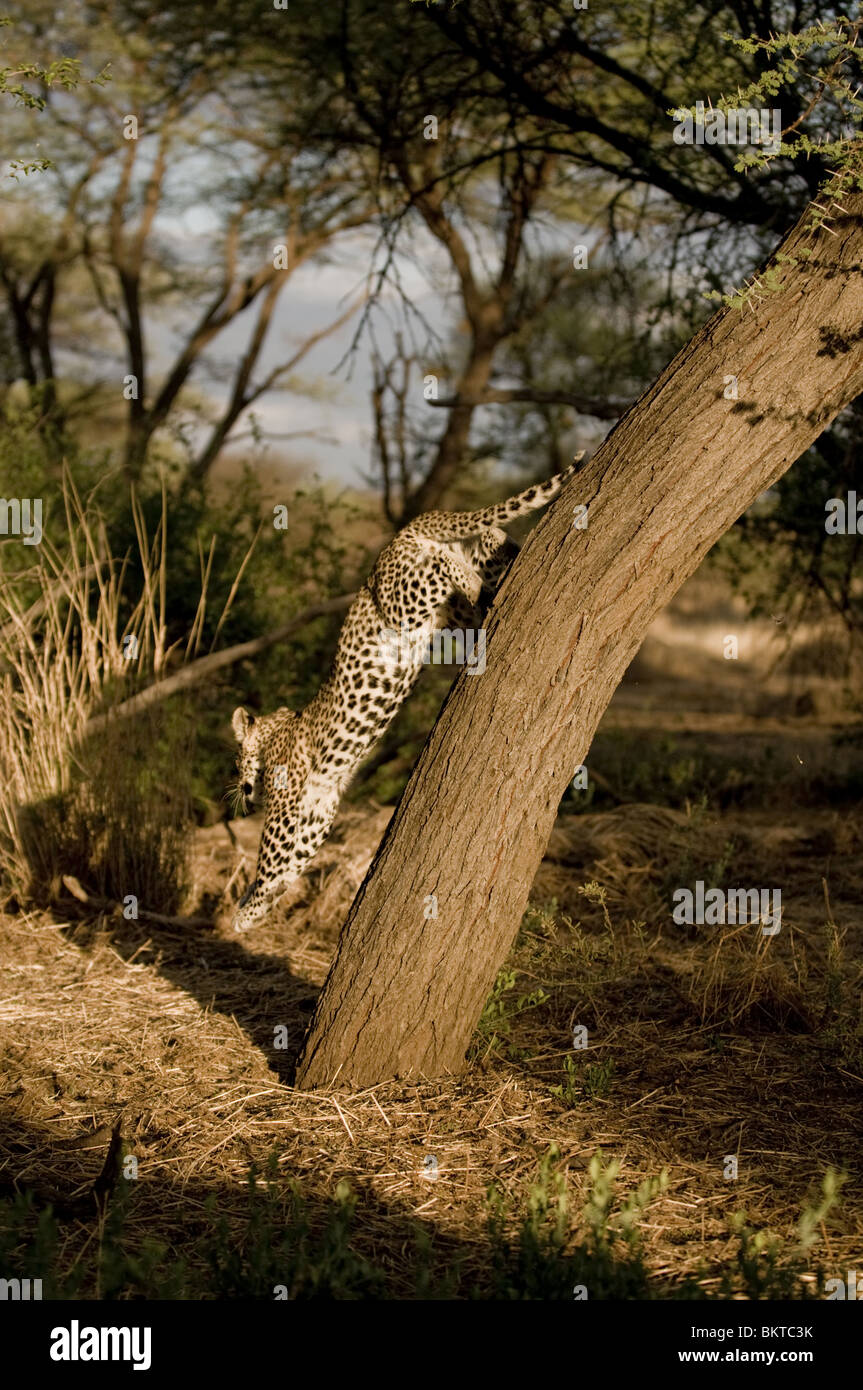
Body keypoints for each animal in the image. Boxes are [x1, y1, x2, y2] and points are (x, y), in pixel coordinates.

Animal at [230, 456, 584, 931]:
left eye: (237, 759)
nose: (239, 788)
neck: (275, 733)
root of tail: (397, 536)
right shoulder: (316, 813)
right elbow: (291, 864)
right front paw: (260, 905)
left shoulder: (288, 810)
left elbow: (270, 859)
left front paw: (244, 913)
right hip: (449, 611)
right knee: (483, 553)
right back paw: (497, 555)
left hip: (408, 603)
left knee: (444, 562)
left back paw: (469, 567)